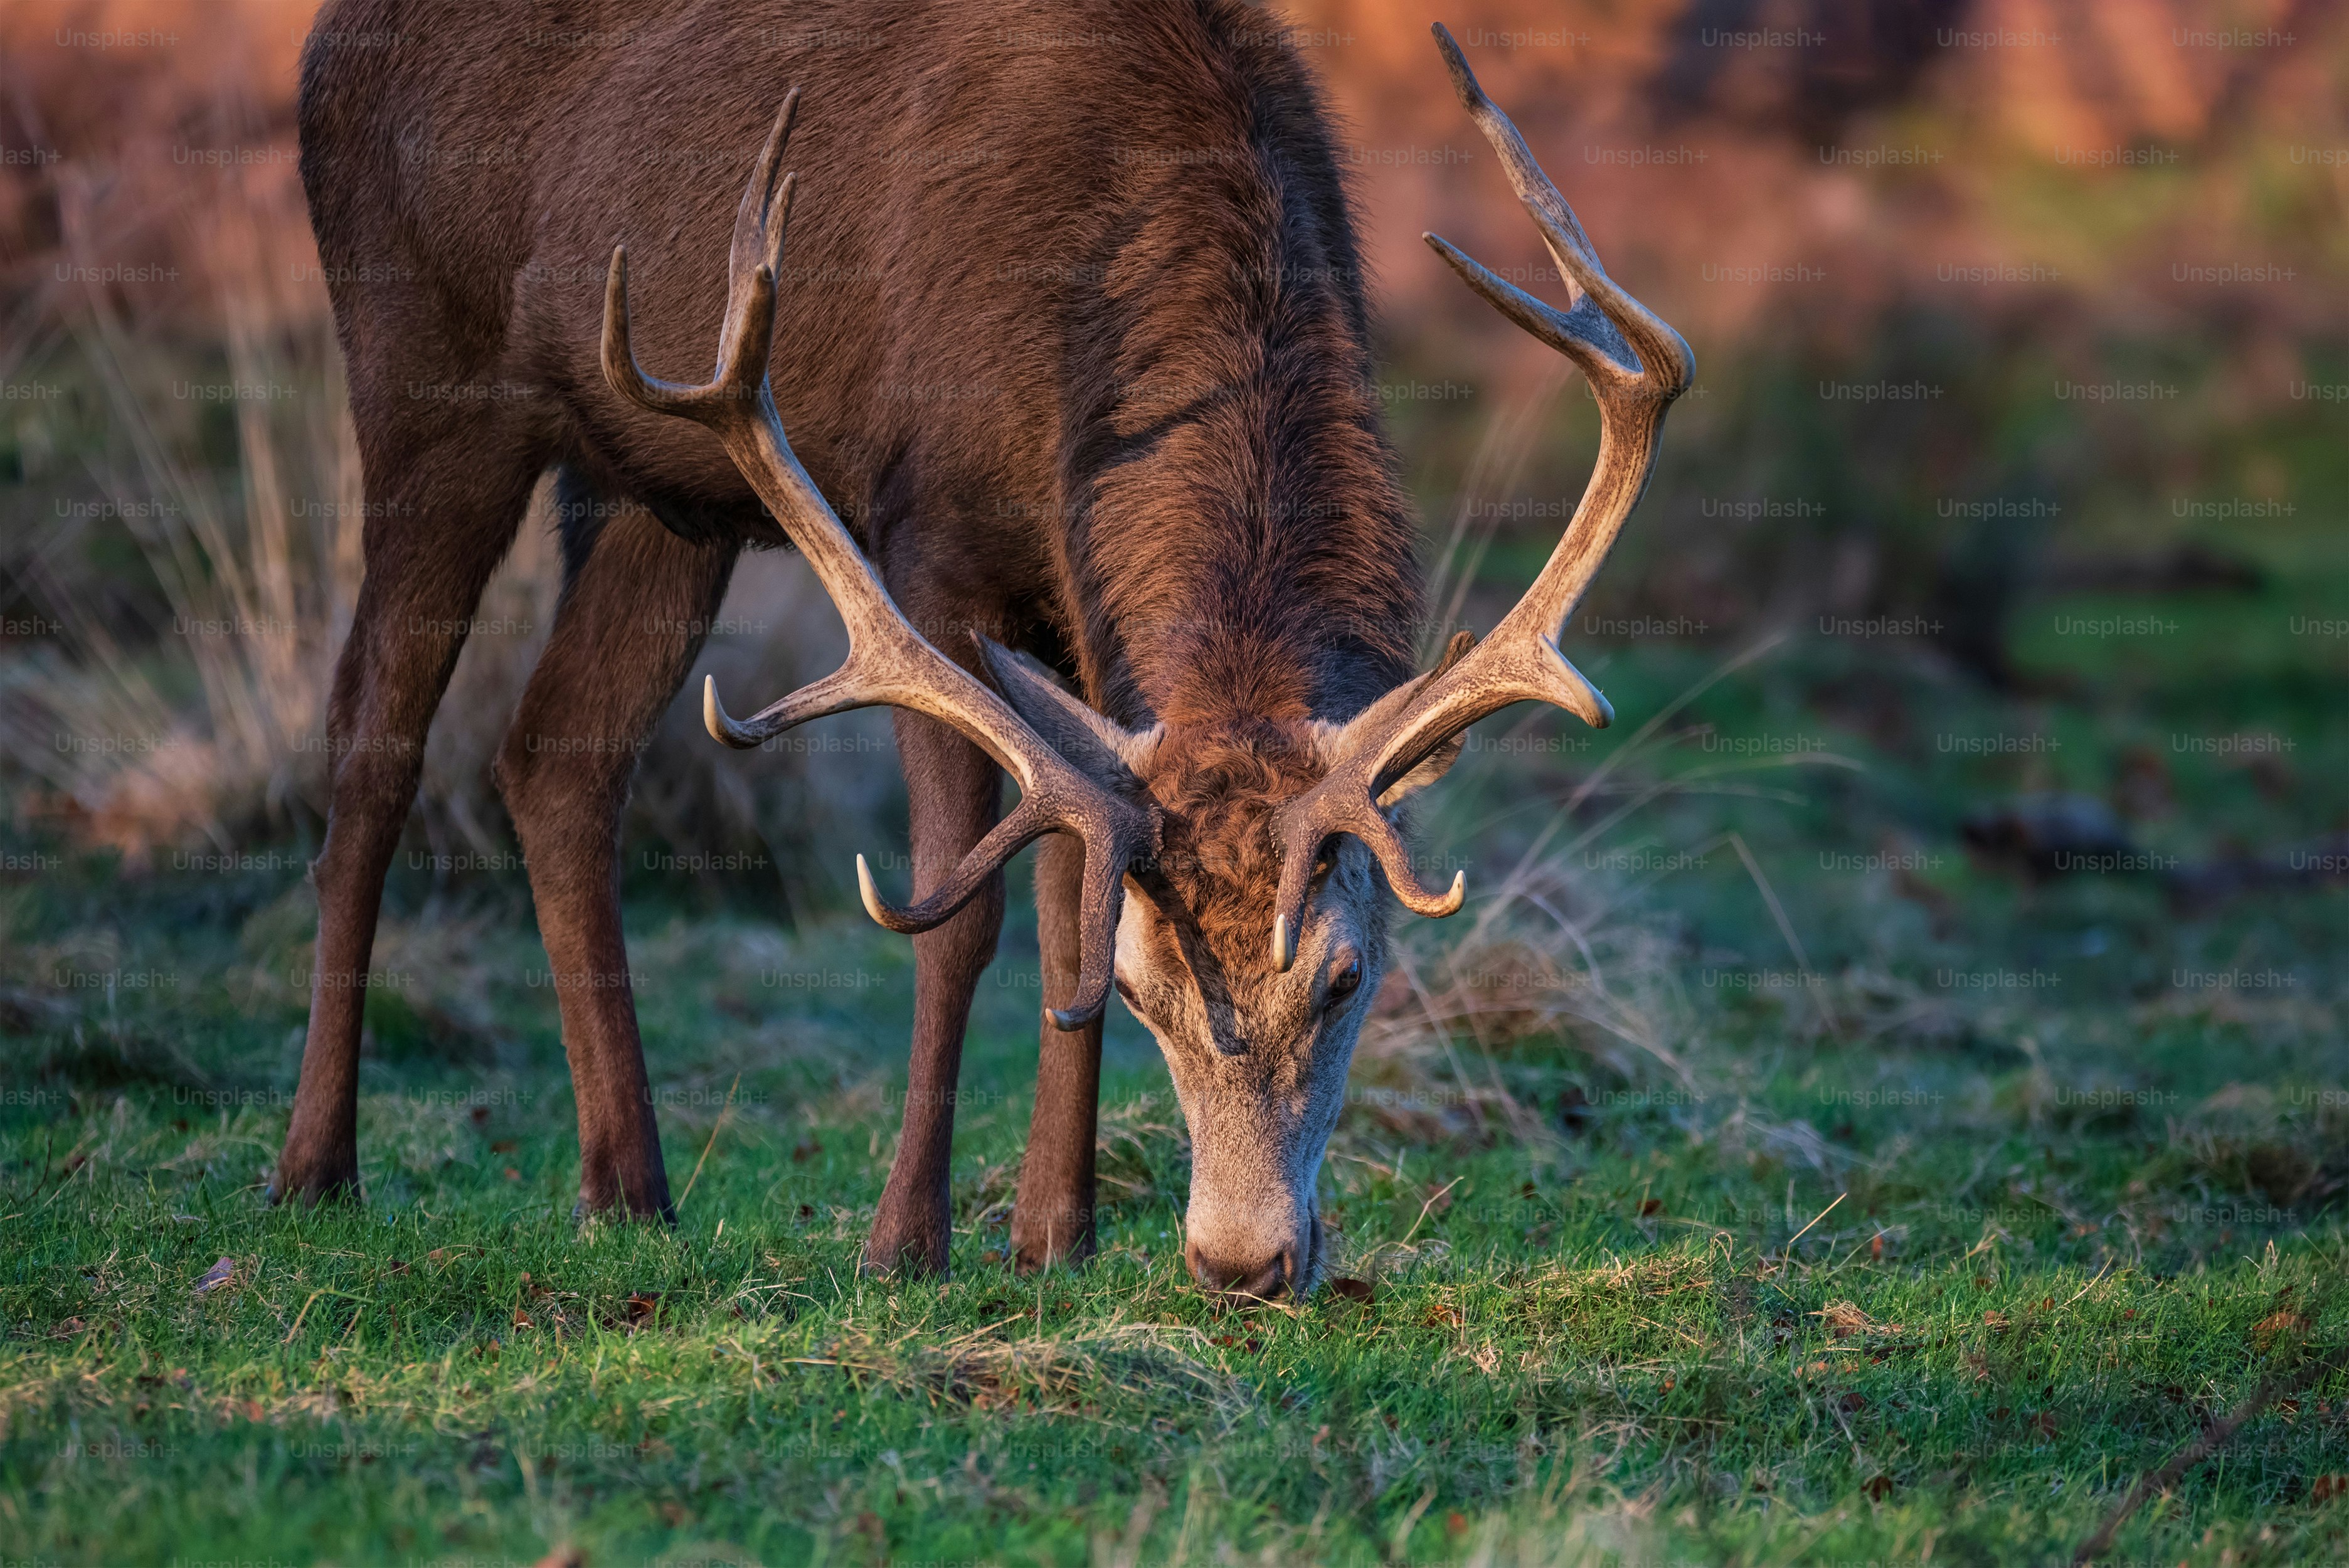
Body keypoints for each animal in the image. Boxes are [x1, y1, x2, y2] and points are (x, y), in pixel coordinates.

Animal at [275, 0, 1689, 1301]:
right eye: (1150, 997)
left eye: (1347, 979)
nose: (1244, 1262)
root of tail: (326, 44)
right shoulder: (928, 556)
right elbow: (961, 909)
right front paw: (905, 1241)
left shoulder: (1083, 641)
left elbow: (1069, 900)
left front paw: (1055, 1233)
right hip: (423, 378)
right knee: (370, 742)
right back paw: (315, 1169)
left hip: (657, 491)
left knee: (555, 760)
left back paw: (628, 1190)